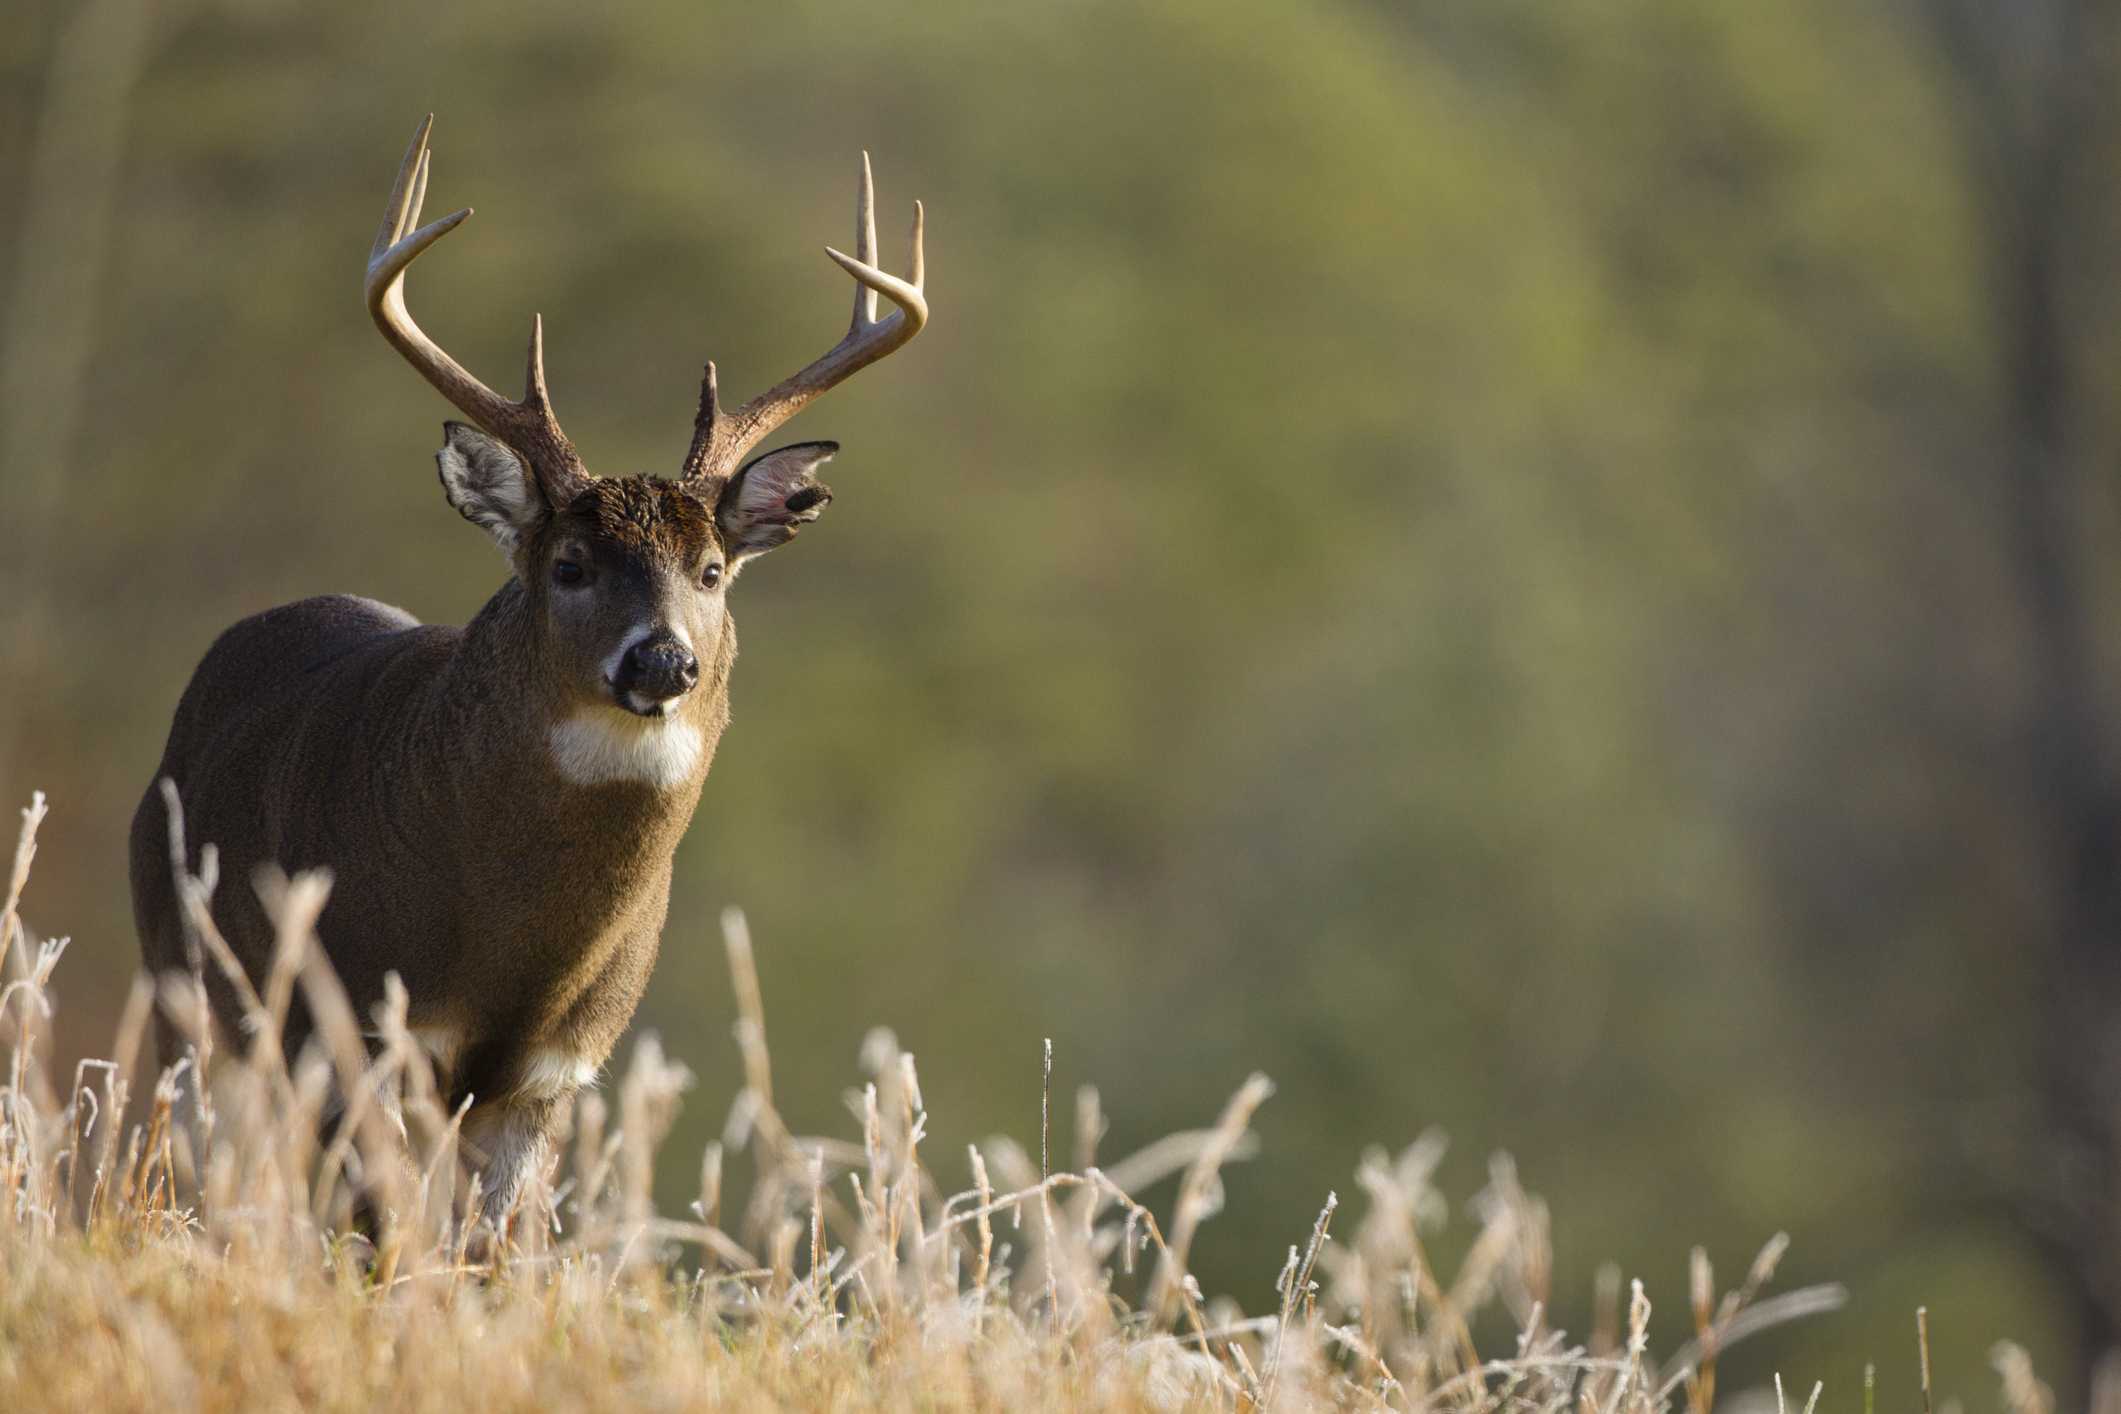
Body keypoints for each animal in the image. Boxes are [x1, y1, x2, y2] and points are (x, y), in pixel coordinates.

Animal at [127, 116, 928, 1227]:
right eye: (570, 565)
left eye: (711, 568)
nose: (664, 657)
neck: (513, 952)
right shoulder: (361, 1027)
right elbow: (385, 1235)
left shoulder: (556, 1070)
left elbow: (489, 1245)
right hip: (190, 992)